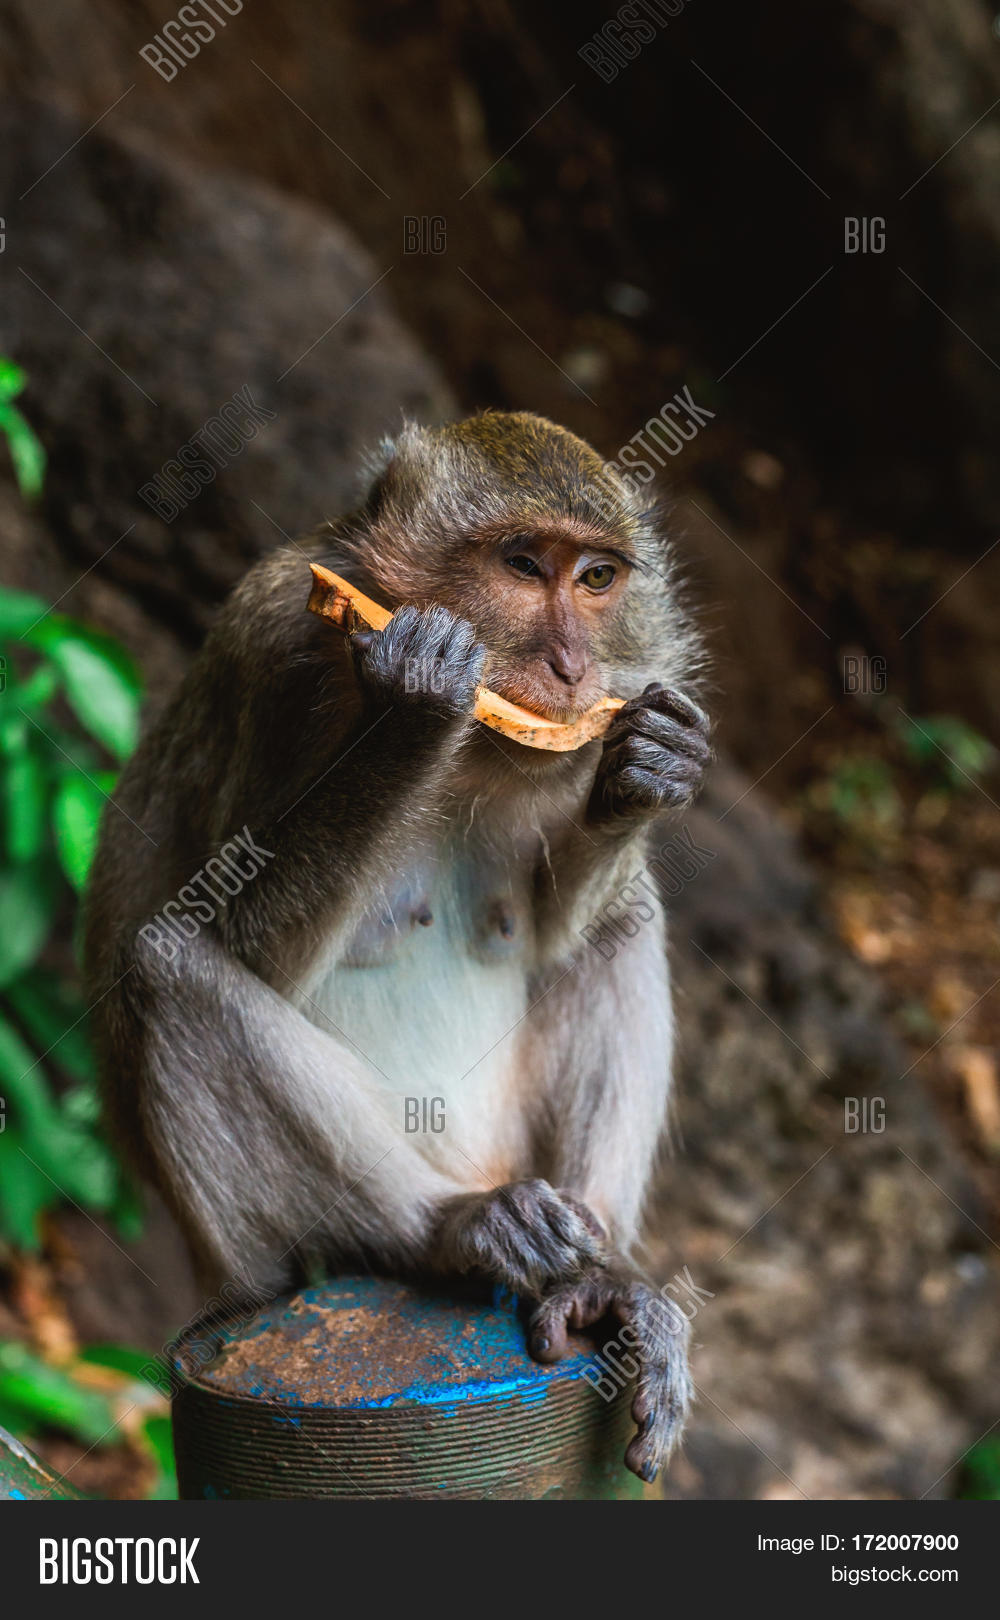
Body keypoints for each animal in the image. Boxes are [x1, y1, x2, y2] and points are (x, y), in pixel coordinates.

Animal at [84, 409, 712, 1484]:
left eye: (597, 577)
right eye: (522, 564)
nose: (572, 669)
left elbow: (555, 935)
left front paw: (645, 772)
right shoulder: (268, 644)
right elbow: (226, 930)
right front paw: (413, 708)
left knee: (624, 921)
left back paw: (602, 1280)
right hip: (263, 1265)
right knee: (164, 972)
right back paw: (447, 1233)